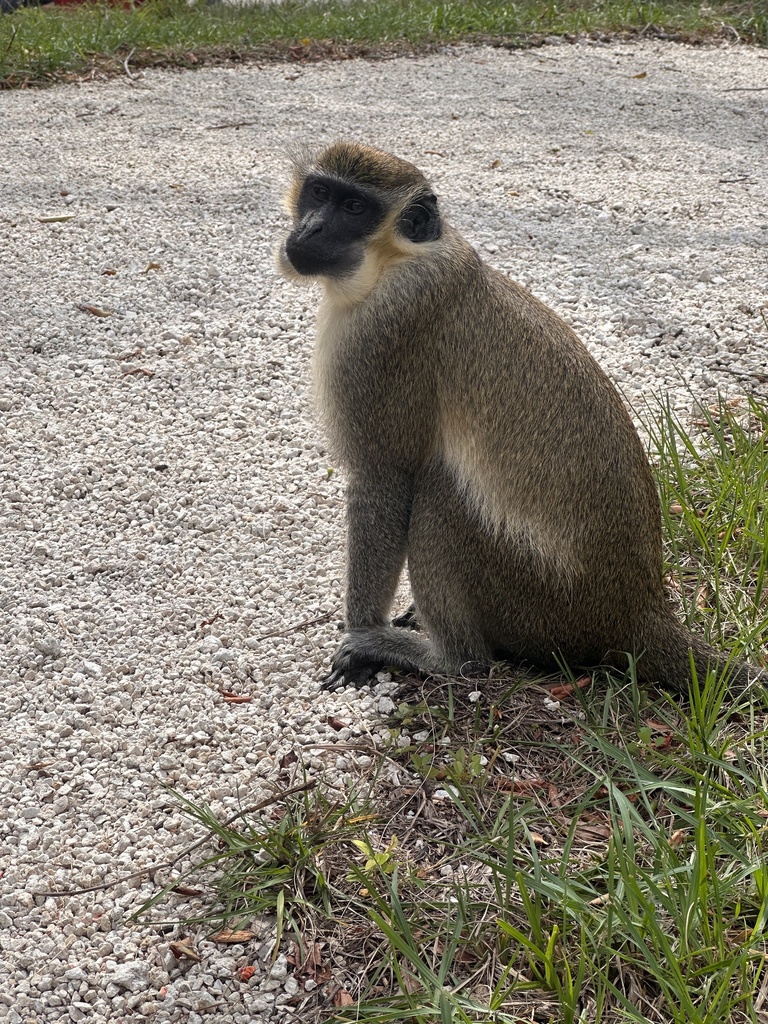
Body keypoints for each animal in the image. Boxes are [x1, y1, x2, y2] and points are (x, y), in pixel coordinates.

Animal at [278, 141, 762, 693]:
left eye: (354, 208)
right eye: (319, 193)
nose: (310, 229)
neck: (400, 260)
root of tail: (639, 611)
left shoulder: (380, 337)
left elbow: (383, 478)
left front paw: (359, 634)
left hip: (540, 600)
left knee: (438, 489)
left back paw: (449, 658)